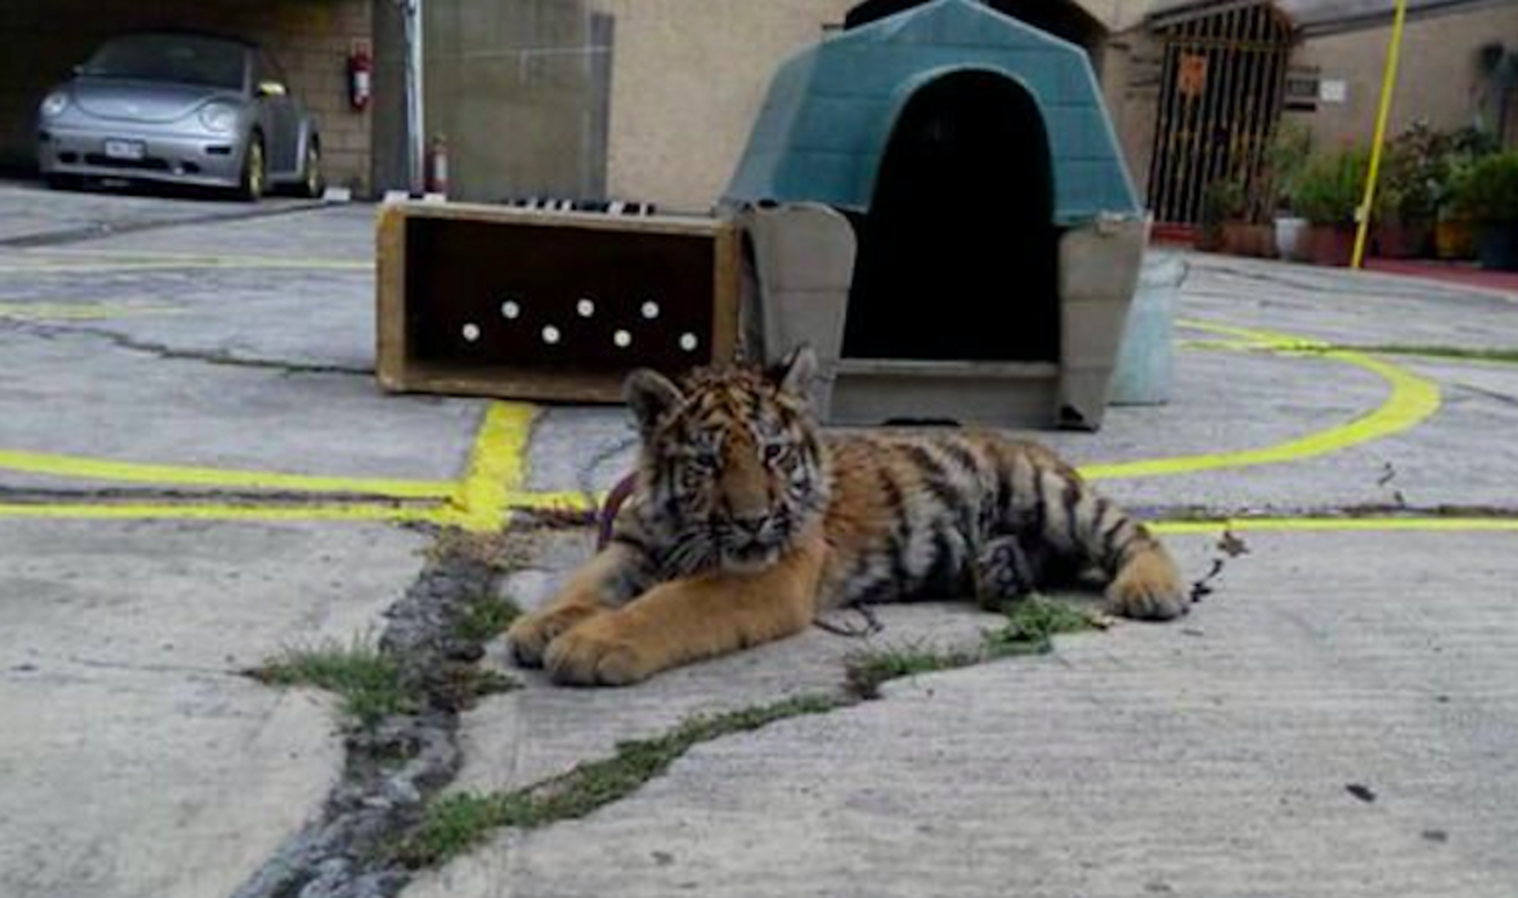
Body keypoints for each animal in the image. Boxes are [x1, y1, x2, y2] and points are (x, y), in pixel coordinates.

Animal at [507, 347, 1188, 686]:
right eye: (707, 462)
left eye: (772, 453)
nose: (753, 520)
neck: (686, 524)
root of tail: (1031, 442)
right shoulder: (632, 545)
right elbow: (588, 583)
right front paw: (542, 625)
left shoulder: (766, 573)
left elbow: (666, 605)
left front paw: (591, 645)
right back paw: (999, 572)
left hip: (1044, 491)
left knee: (1131, 533)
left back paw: (1149, 590)